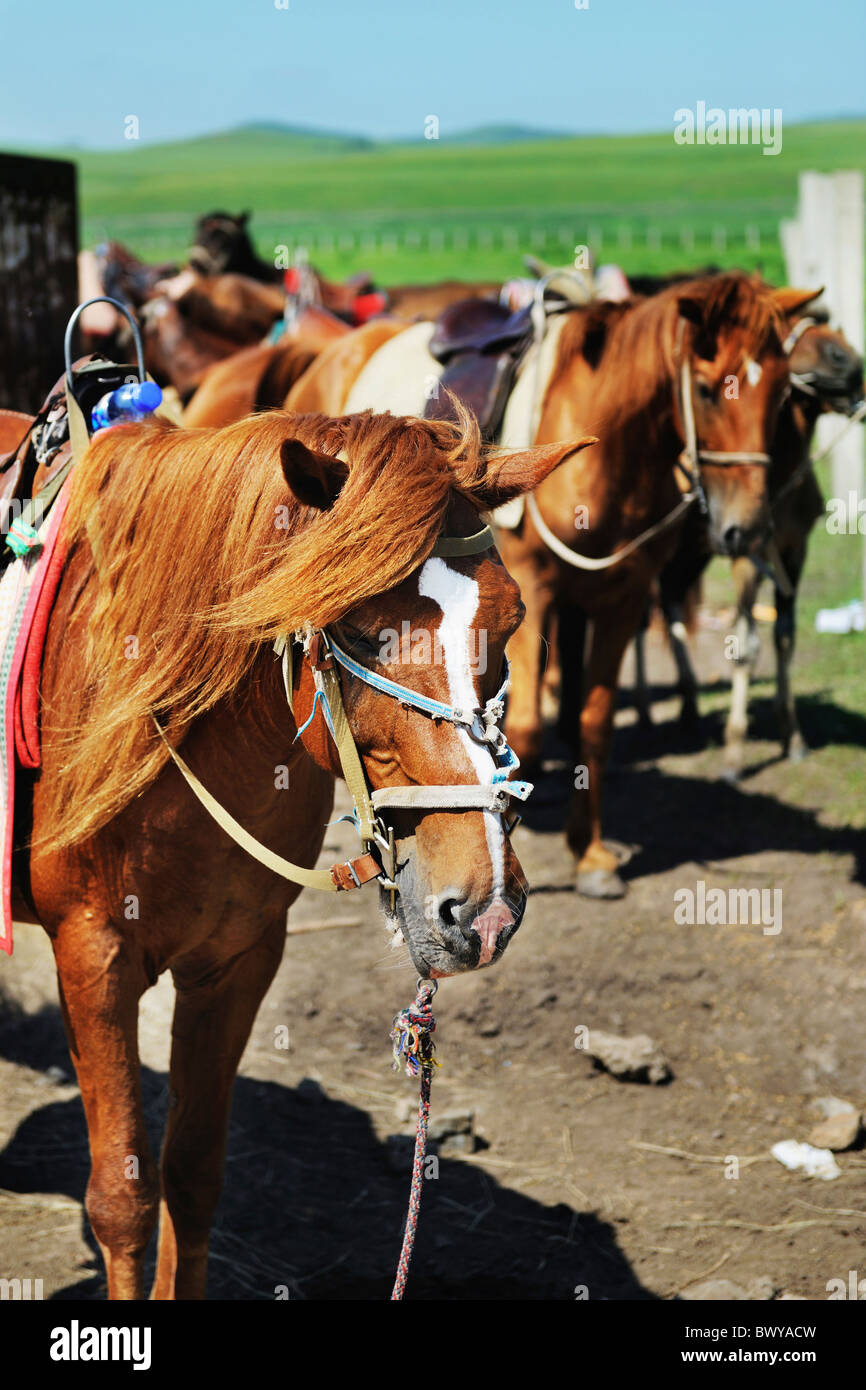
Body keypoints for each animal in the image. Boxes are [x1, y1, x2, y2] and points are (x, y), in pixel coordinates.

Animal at [18, 406, 591, 1299]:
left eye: (511, 622)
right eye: (357, 629)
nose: (482, 908)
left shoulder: (240, 958)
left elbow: (191, 1176)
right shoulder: (92, 954)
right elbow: (122, 1196)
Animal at [286, 274, 820, 898]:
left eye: (782, 393)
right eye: (709, 390)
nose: (749, 528)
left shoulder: (624, 597)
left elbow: (594, 723)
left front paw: (589, 854)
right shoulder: (533, 592)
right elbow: (522, 729)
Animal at [633, 316, 865, 776]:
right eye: (787, 330)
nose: (847, 360)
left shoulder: (794, 554)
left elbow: (784, 637)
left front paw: (793, 736)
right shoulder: (746, 558)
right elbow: (745, 645)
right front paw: (735, 751)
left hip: (692, 553)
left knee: (669, 602)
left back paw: (688, 706)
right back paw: (648, 711)